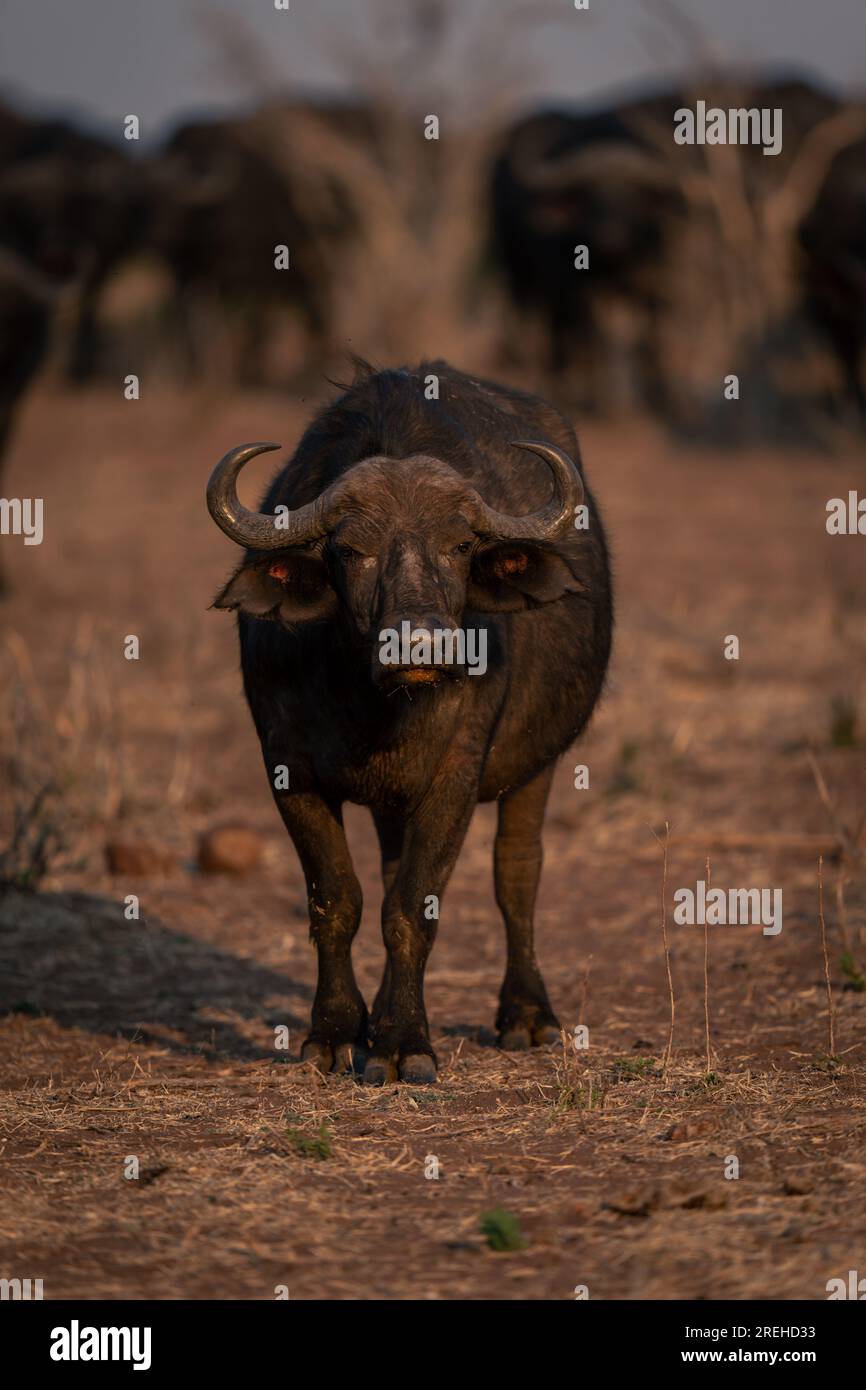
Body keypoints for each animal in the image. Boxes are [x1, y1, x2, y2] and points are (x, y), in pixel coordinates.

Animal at [207, 361, 612, 1083]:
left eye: (460, 545)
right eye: (351, 550)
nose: (420, 647)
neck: (376, 708)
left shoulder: (456, 774)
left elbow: (413, 907)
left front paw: (404, 1044)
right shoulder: (287, 767)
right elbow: (338, 901)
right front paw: (339, 1034)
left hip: (537, 765)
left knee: (516, 874)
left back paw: (527, 1015)